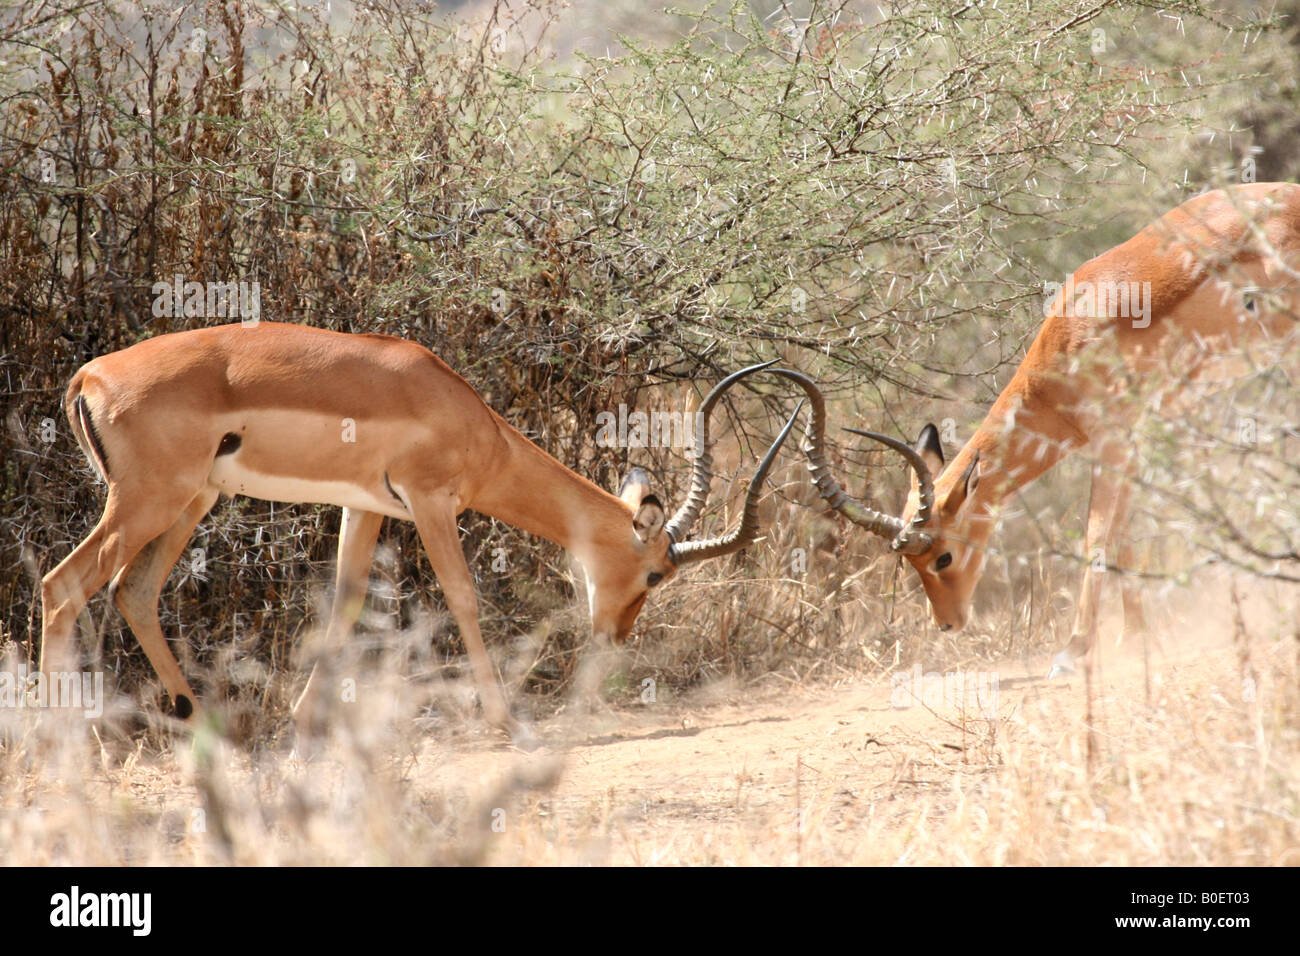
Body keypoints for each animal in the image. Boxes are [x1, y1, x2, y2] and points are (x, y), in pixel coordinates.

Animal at [37, 322, 800, 743]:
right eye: (655, 573)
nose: (614, 636)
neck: (464, 414)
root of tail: (89, 376)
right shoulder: (432, 504)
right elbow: (463, 597)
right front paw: (504, 721)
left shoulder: (366, 505)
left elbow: (344, 602)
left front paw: (306, 723)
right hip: (148, 501)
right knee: (61, 584)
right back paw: (56, 746)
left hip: (191, 499)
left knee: (133, 590)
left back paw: (203, 722)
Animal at [777, 182, 1300, 675]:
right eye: (907, 560)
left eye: (943, 555)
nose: (947, 623)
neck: (1069, 344)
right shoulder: (1132, 436)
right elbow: (1126, 532)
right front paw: (1134, 639)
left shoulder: (1111, 439)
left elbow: (1095, 535)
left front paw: (1071, 652)